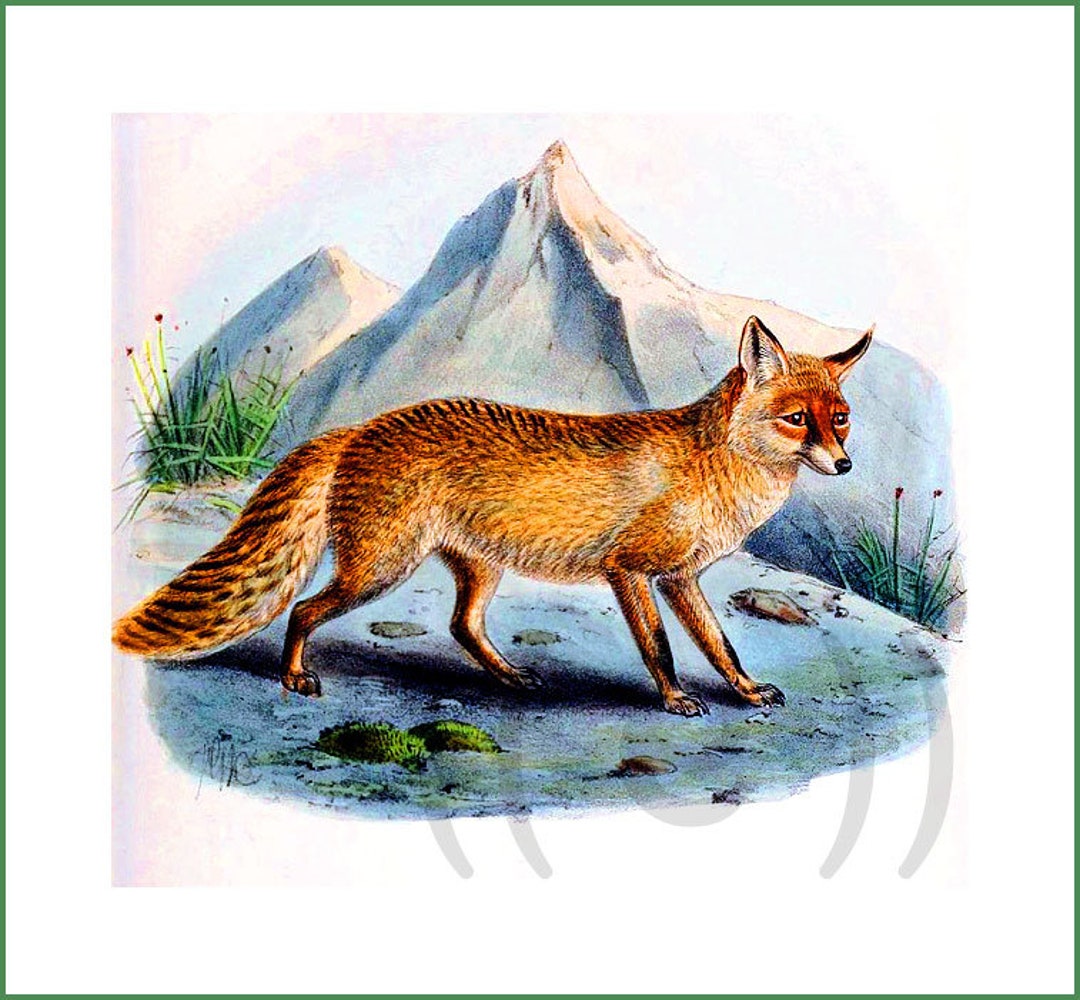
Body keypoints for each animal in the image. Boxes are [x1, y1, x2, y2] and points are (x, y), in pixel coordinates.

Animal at [113, 315, 872, 716]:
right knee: (302, 609)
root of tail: (360, 428)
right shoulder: (630, 571)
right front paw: (674, 700)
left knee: (461, 626)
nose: (844, 466)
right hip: (380, 569)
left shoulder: (682, 578)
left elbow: (721, 645)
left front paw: (744, 691)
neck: (714, 469)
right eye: (796, 420)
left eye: (839, 419)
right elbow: (659, 647)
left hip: (474, 569)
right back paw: (295, 678)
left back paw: (508, 677)